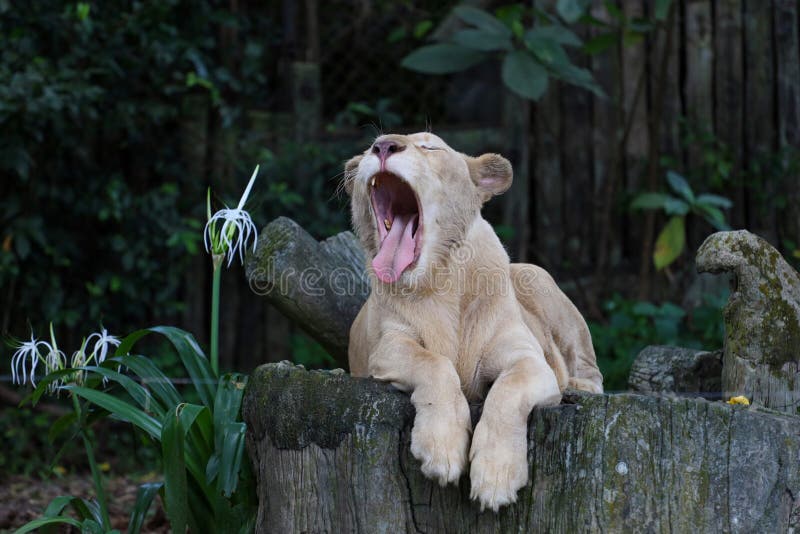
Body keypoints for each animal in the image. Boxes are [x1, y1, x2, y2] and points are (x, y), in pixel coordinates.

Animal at [343, 132, 603, 512]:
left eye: (429, 147)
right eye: (367, 149)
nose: (384, 146)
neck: (440, 280)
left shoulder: (528, 358)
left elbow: (508, 391)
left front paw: (496, 478)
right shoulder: (388, 345)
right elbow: (434, 364)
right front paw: (442, 450)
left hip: (540, 280)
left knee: (589, 369)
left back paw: (576, 388)